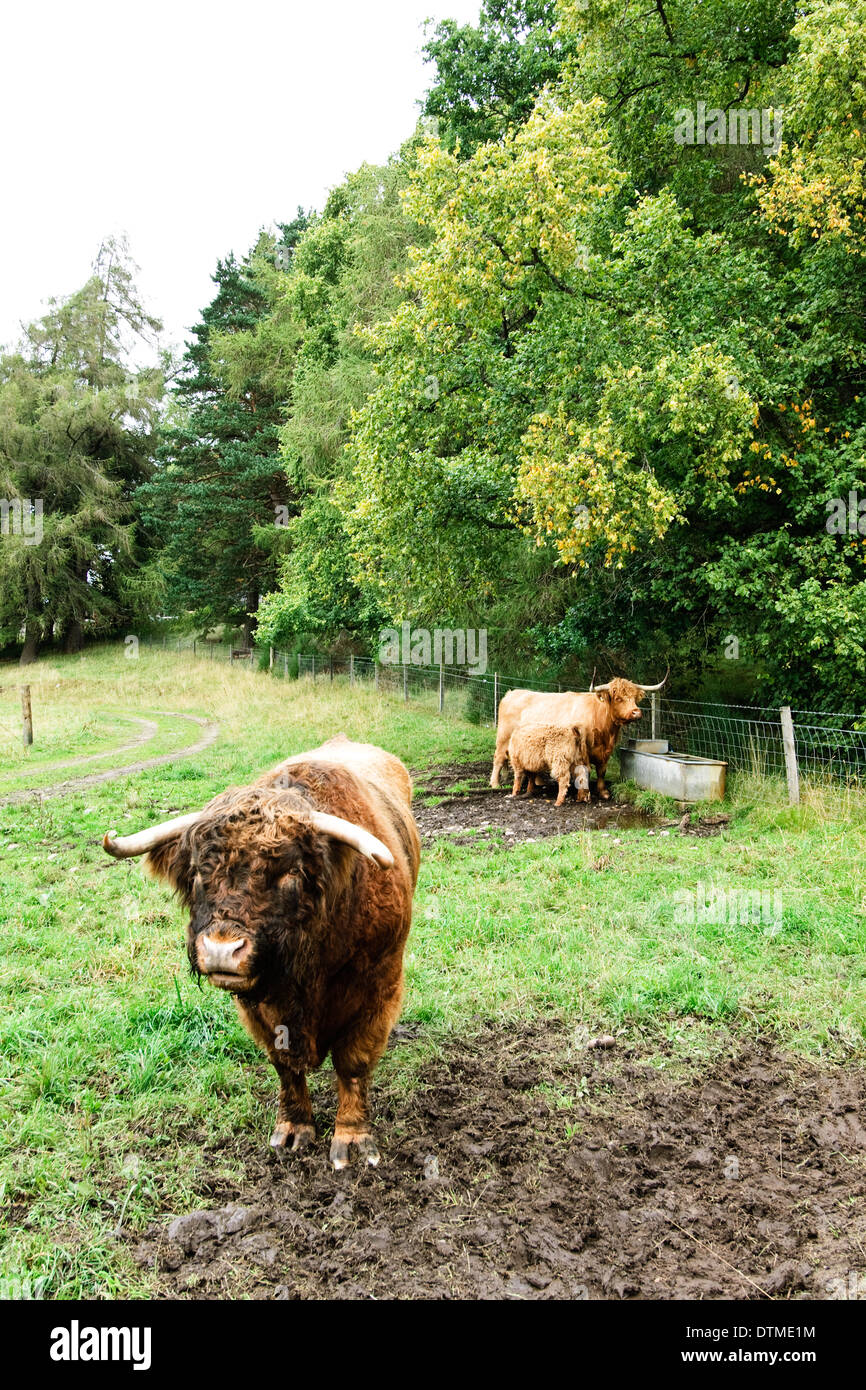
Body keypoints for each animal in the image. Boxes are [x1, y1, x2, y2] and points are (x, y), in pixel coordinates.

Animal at [102, 735, 420, 1170]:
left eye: (290, 872)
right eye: (199, 872)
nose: (222, 949)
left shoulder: (379, 985)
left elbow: (353, 1063)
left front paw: (352, 1140)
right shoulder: (257, 1005)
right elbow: (283, 1065)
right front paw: (293, 1129)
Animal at [491, 675, 667, 799]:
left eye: (634, 698)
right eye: (618, 698)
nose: (636, 712)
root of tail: (512, 693)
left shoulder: (606, 752)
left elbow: (601, 771)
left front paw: (603, 792)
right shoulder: (583, 751)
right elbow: (584, 771)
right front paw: (584, 793)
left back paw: (537, 782)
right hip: (504, 738)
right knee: (499, 758)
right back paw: (495, 783)